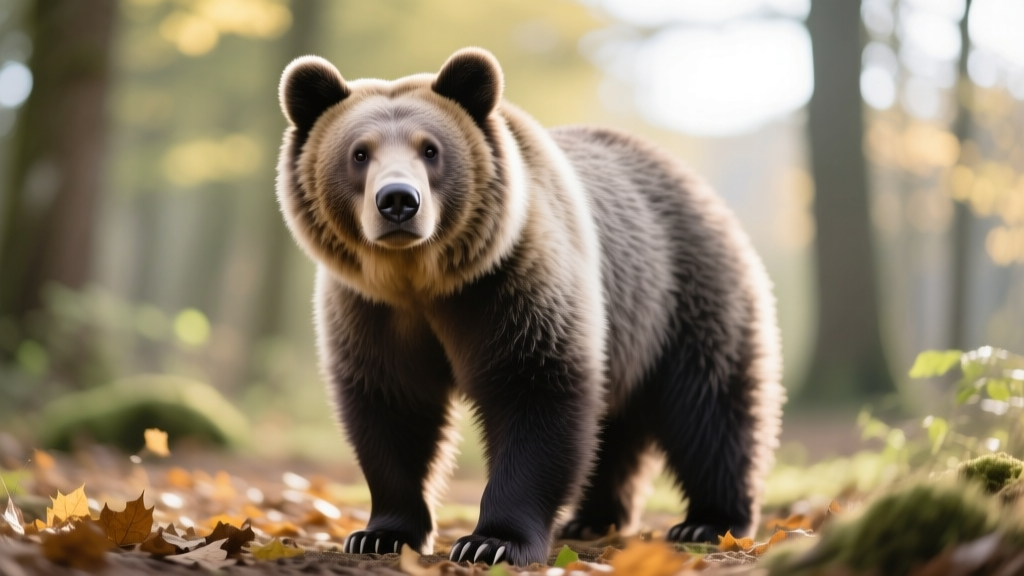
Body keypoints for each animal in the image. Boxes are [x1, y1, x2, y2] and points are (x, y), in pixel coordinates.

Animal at [275, 47, 784, 567]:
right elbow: (392, 408)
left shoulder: (511, 285)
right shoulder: (371, 311)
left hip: (682, 292)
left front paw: (492, 541)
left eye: (430, 149)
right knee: (616, 426)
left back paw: (709, 520)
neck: (421, 279)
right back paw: (594, 518)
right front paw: (379, 534)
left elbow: (535, 392)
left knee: (710, 405)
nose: (398, 200)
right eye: (360, 152)